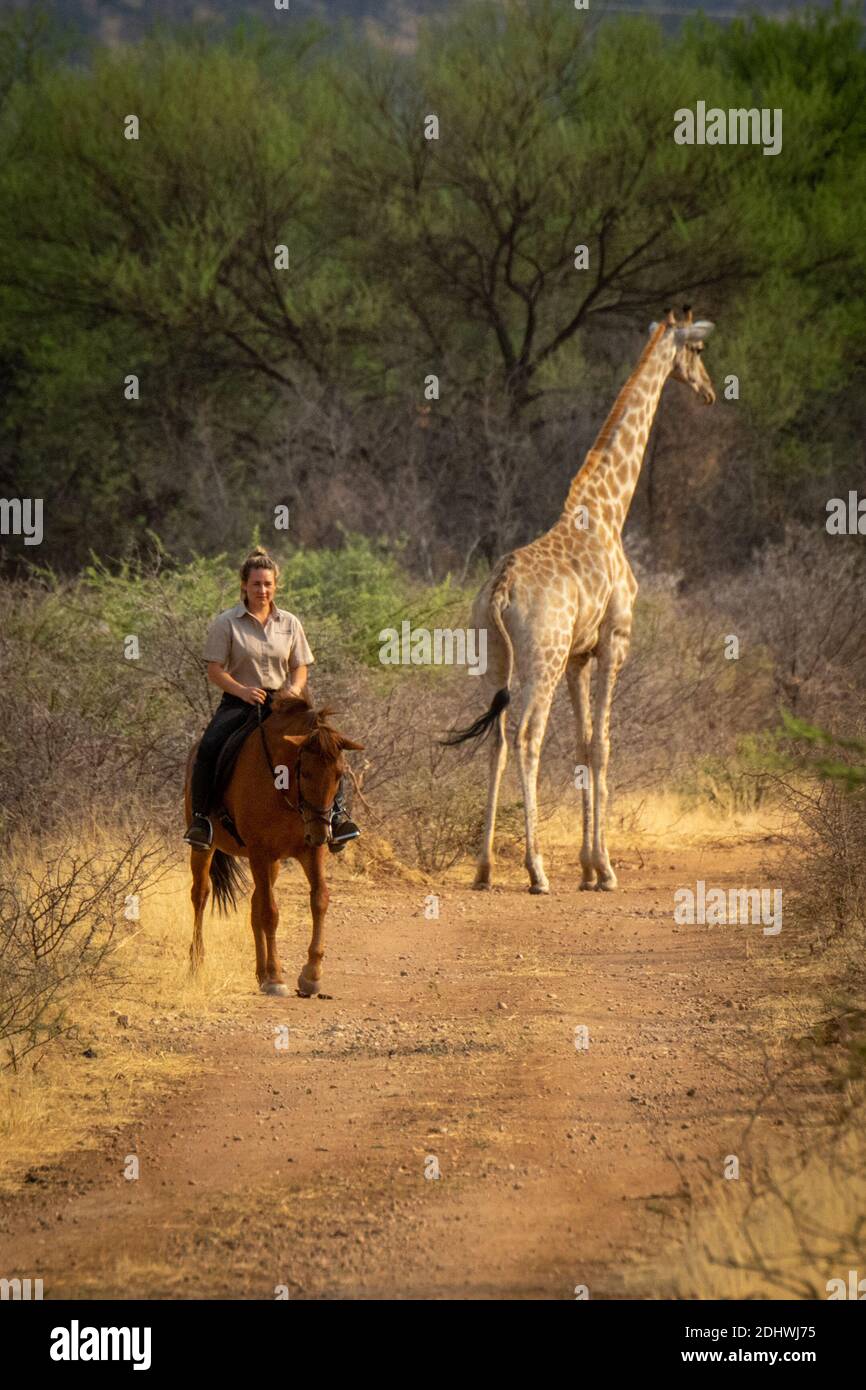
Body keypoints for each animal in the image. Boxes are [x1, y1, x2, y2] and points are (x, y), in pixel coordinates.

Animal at [444, 307, 716, 894]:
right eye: (699, 351)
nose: (709, 391)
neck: (608, 509)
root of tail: (500, 589)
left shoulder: (577, 657)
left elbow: (582, 744)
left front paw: (590, 868)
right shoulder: (614, 641)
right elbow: (602, 745)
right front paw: (604, 870)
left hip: (494, 658)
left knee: (497, 739)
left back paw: (484, 868)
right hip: (540, 658)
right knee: (527, 736)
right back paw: (536, 870)